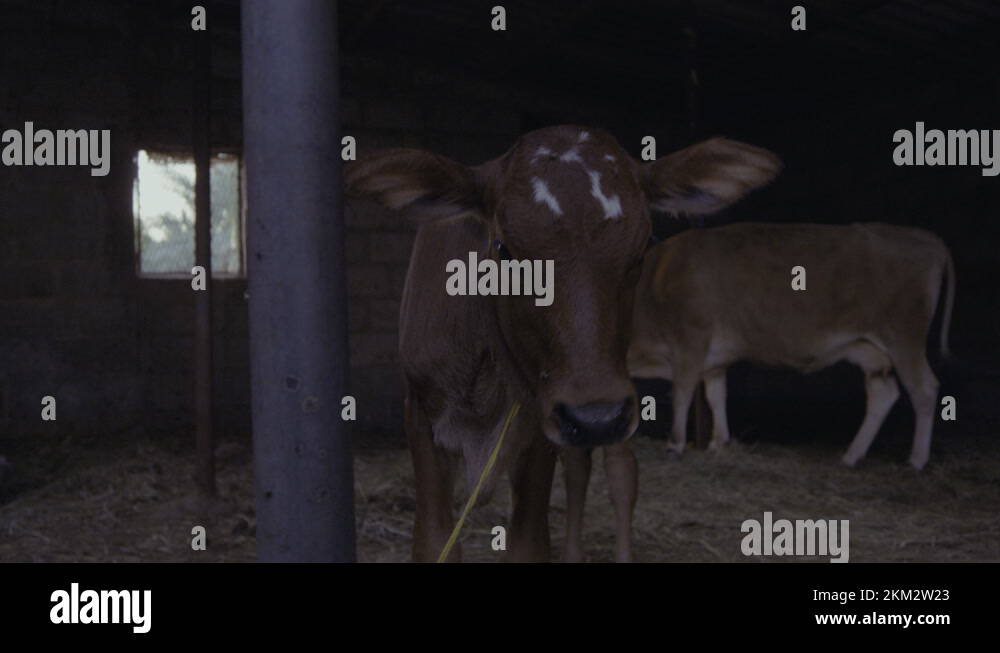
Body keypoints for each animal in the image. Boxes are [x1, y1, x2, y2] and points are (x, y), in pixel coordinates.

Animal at [346, 126, 780, 562]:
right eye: (504, 250)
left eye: (643, 247)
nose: (595, 418)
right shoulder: (421, 415)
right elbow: (435, 542)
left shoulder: (545, 429)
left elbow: (530, 542)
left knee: (620, 470)